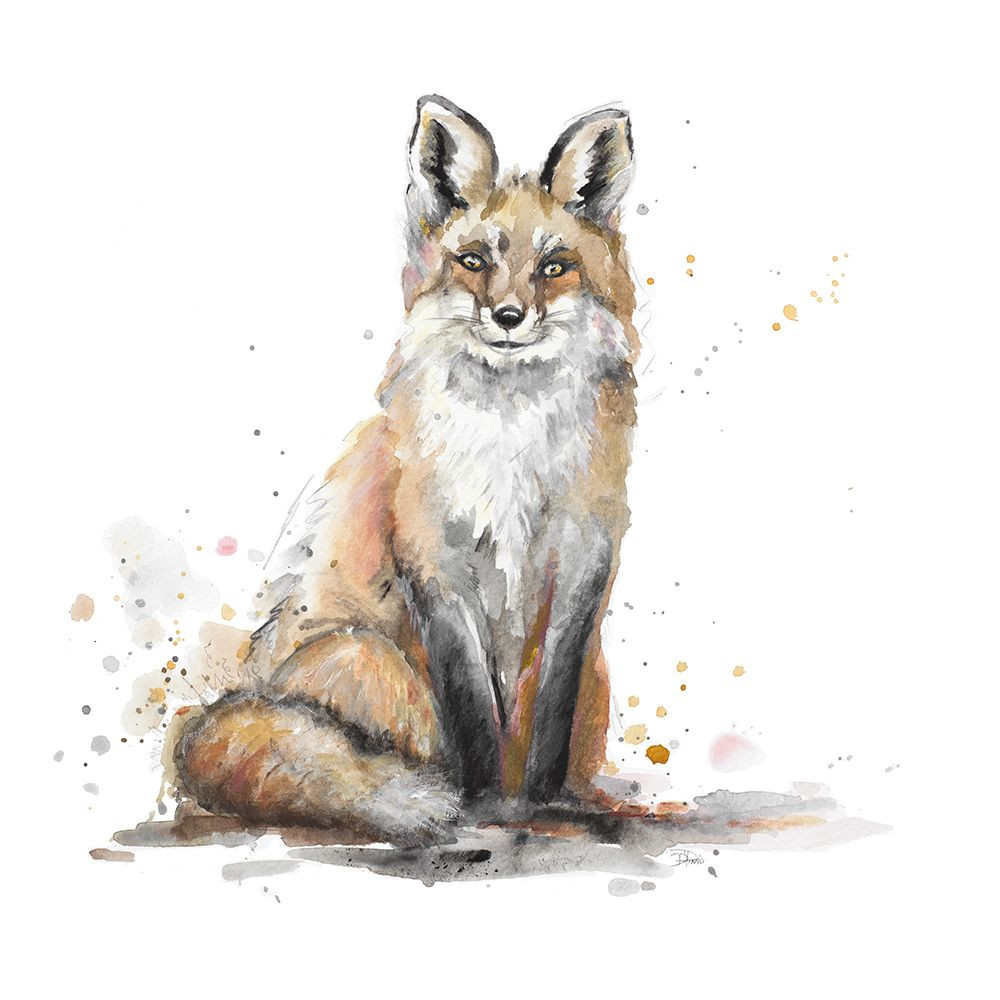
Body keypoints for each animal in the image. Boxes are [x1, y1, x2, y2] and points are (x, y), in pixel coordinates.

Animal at [172, 95, 639, 843]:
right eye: (473, 261)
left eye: (554, 267)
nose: (509, 316)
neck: (510, 444)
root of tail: (255, 687)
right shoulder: (432, 558)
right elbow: (473, 708)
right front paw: (484, 804)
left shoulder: (581, 563)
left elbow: (550, 707)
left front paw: (545, 803)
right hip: (370, 653)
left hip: (595, 675)